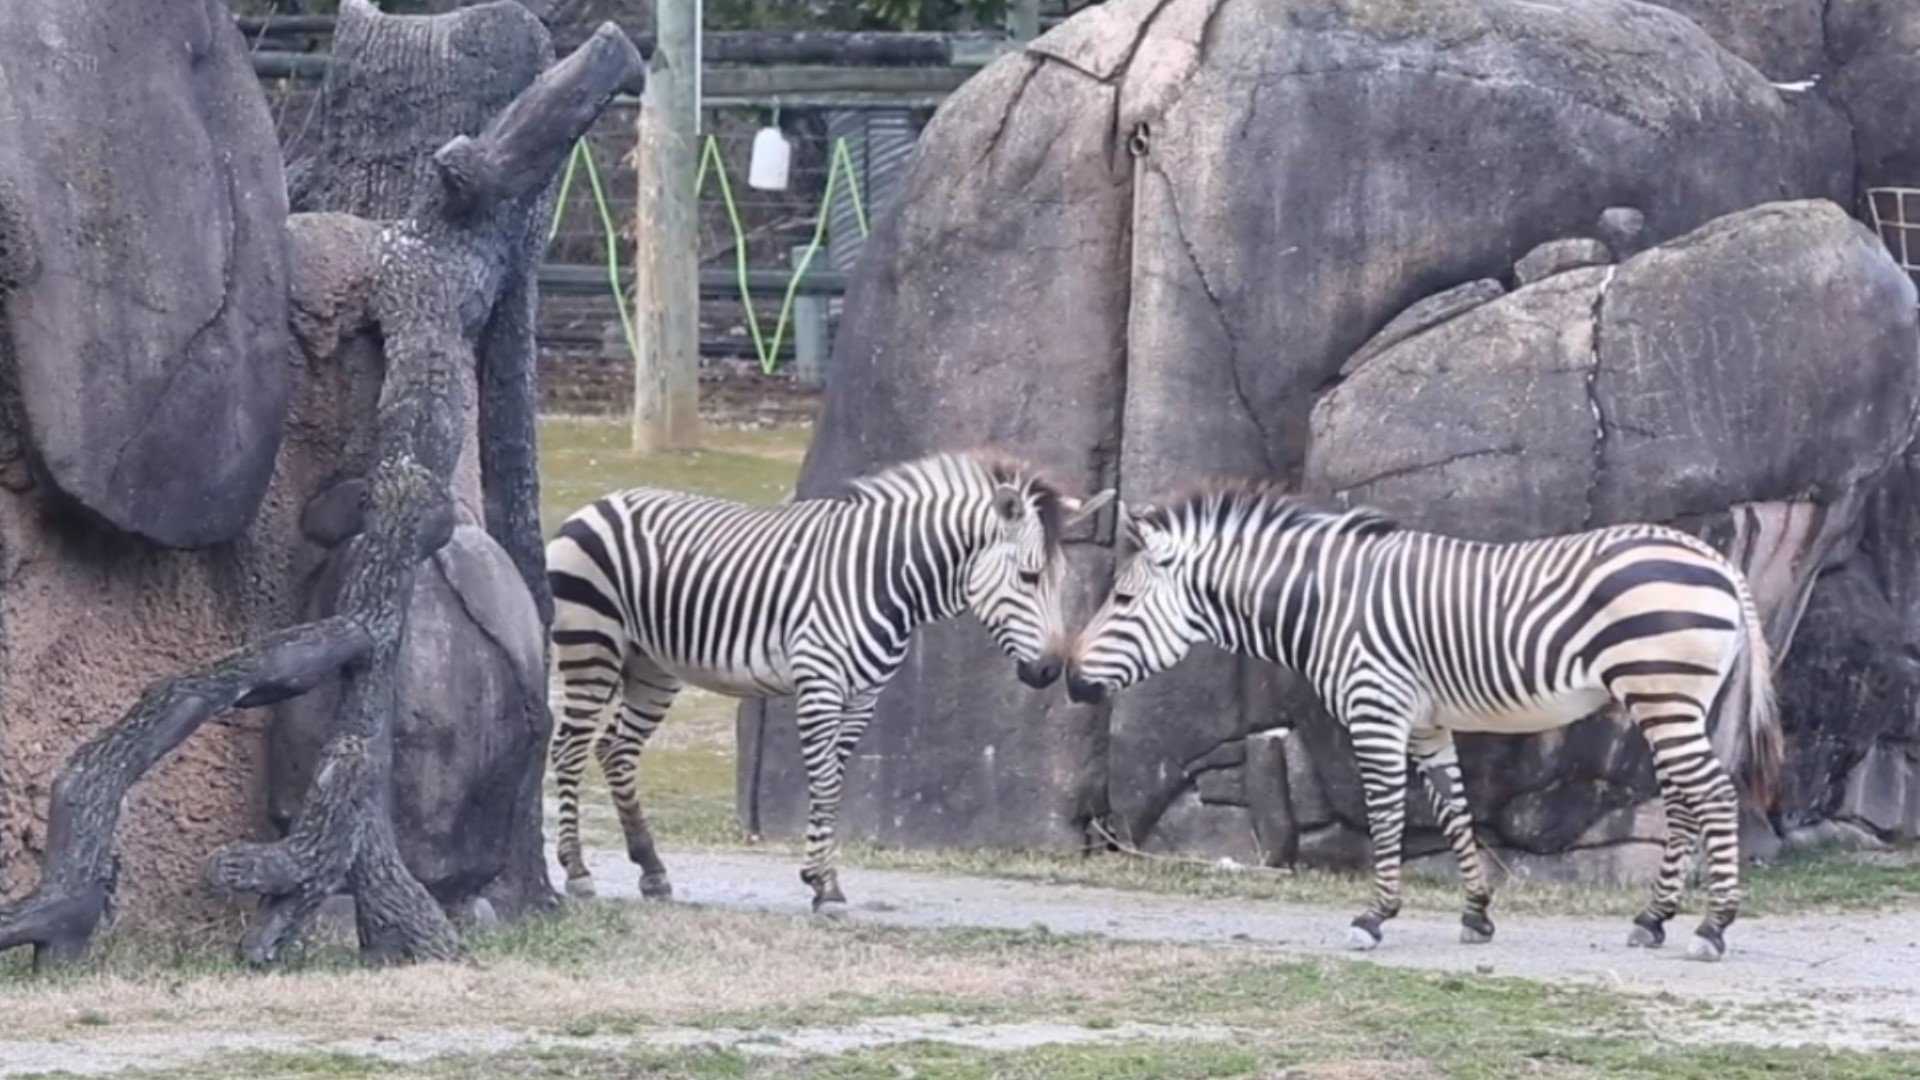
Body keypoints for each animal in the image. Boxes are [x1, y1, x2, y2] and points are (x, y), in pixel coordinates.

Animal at [544, 448, 1114, 913]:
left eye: (1062, 581)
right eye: (1029, 577)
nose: (1049, 671)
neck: (885, 579)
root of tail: (600, 502)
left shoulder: (863, 697)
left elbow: (836, 781)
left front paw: (817, 876)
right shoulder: (820, 683)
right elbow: (823, 780)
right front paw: (828, 887)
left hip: (653, 667)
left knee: (616, 749)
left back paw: (652, 868)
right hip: (592, 646)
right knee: (569, 749)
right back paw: (577, 871)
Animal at [1063, 480, 1784, 961]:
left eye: (1121, 600)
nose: (1068, 678)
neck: (1325, 604)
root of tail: (1718, 561)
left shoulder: (1375, 712)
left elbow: (1385, 815)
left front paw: (1373, 917)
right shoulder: (1427, 725)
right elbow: (1455, 812)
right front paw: (1477, 914)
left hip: (1661, 691)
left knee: (1714, 795)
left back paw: (1712, 926)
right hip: (1675, 701)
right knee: (1686, 800)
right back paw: (1654, 917)